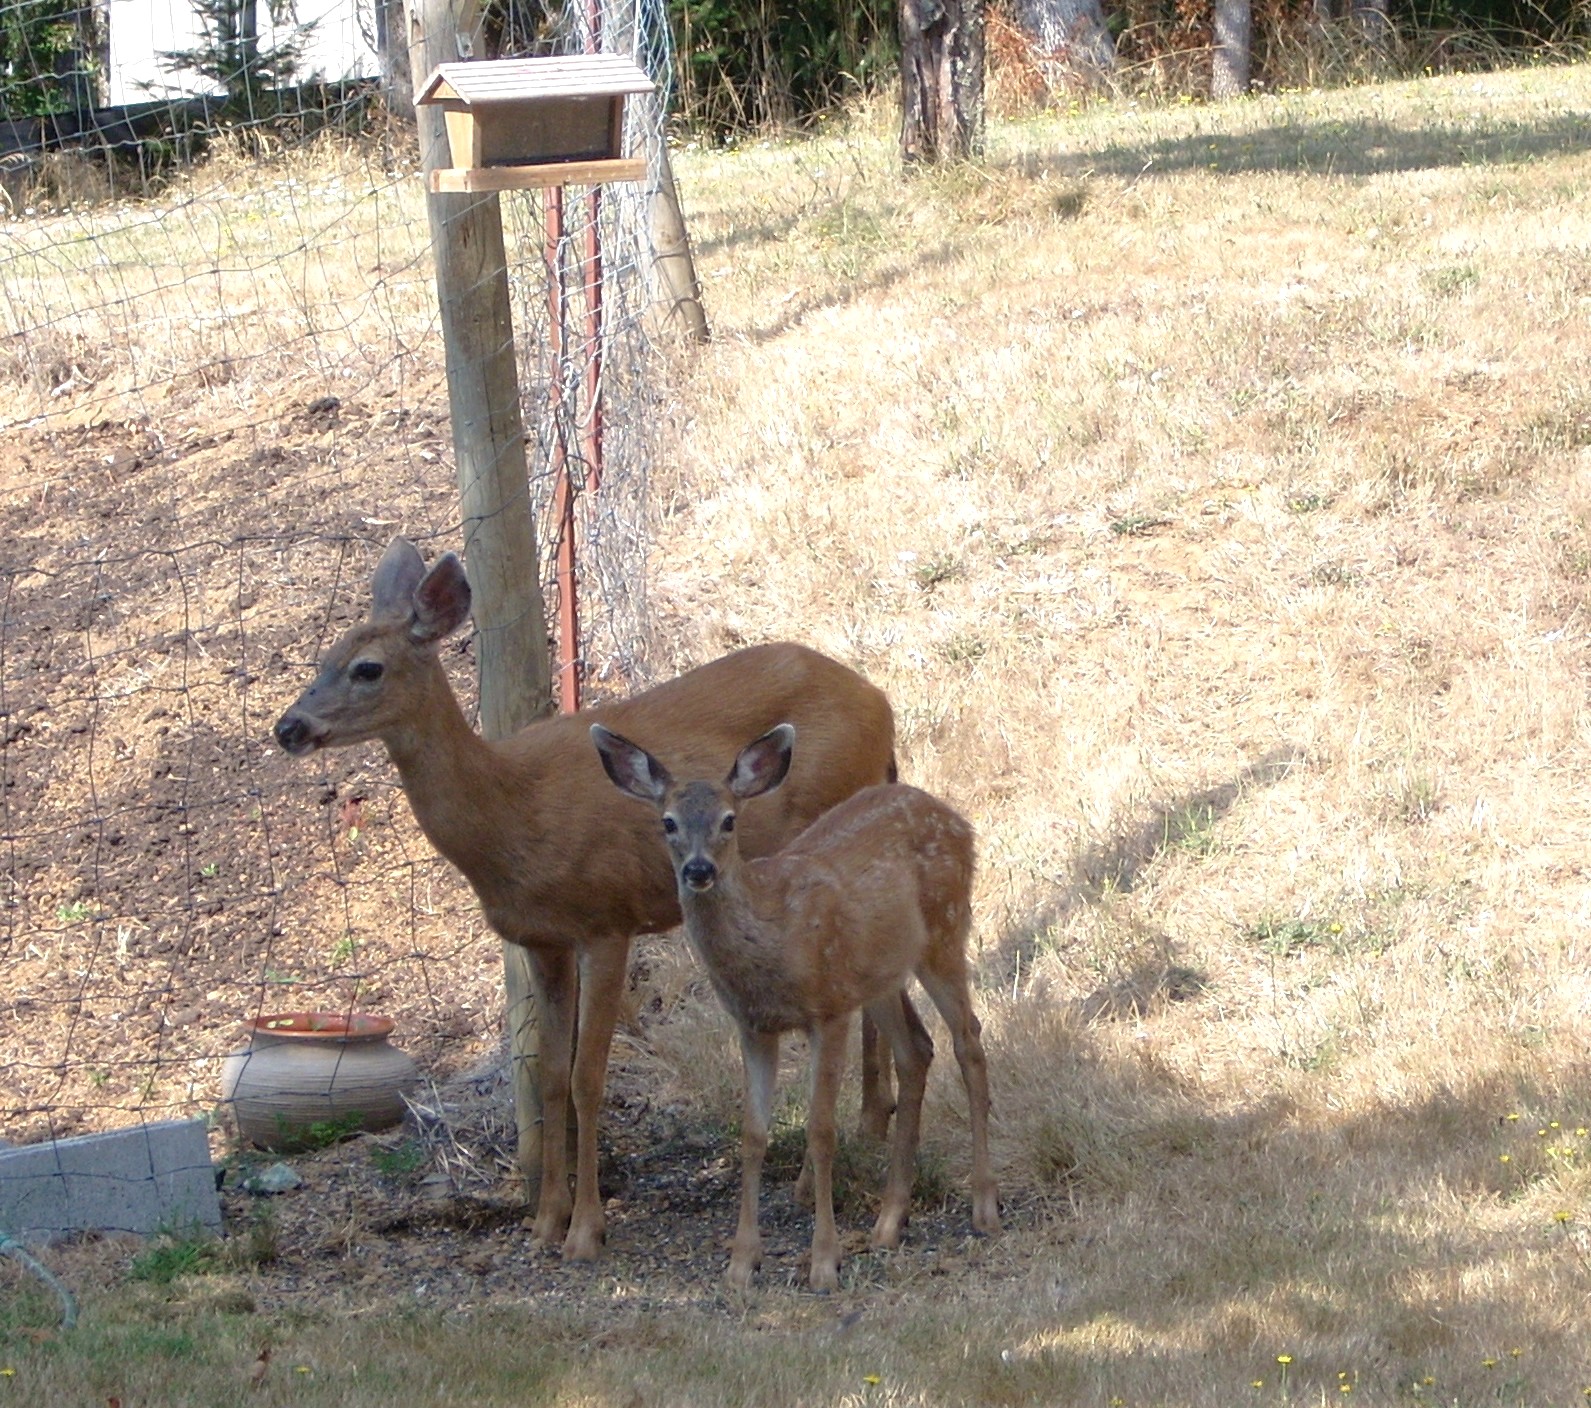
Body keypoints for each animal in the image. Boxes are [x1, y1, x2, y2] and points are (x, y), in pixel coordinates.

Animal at [273, 538, 898, 1262]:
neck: (512, 814)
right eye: (324, 657)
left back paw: (829, 1165)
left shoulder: (607, 918)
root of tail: (883, 705)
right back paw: (870, 1125)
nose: (289, 728)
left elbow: (586, 1077)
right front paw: (545, 1219)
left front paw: (586, 1228)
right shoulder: (542, 939)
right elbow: (547, 1075)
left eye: (367, 667)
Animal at [592, 721, 999, 1291]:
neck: (770, 942)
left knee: (969, 1041)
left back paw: (985, 1204)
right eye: (667, 822)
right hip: (877, 975)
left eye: (730, 820)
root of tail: (959, 820)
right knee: (917, 1048)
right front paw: (742, 1261)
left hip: (944, 930)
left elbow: (821, 1130)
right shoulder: (754, 1025)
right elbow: (752, 1134)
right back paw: (889, 1222)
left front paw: (824, 1261)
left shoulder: (827, 1010)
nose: (698, 870)